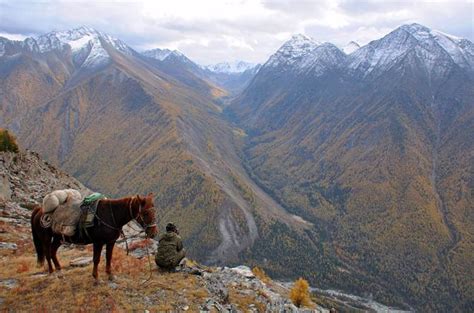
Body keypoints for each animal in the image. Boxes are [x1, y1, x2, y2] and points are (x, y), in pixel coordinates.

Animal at [30, 194, 158, 280]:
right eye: (145, 213)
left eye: (155, 211)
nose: (154, 233)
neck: (111, 215)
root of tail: (39, 209)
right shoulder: (98, 242)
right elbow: (96, 259)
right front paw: (96, 277)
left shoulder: (111, 242)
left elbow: (109, 257)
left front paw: (110, 275)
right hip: (46, 238)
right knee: (47, 253)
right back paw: (52, 273)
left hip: (58, 238)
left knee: (52, 252)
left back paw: (60, 272)